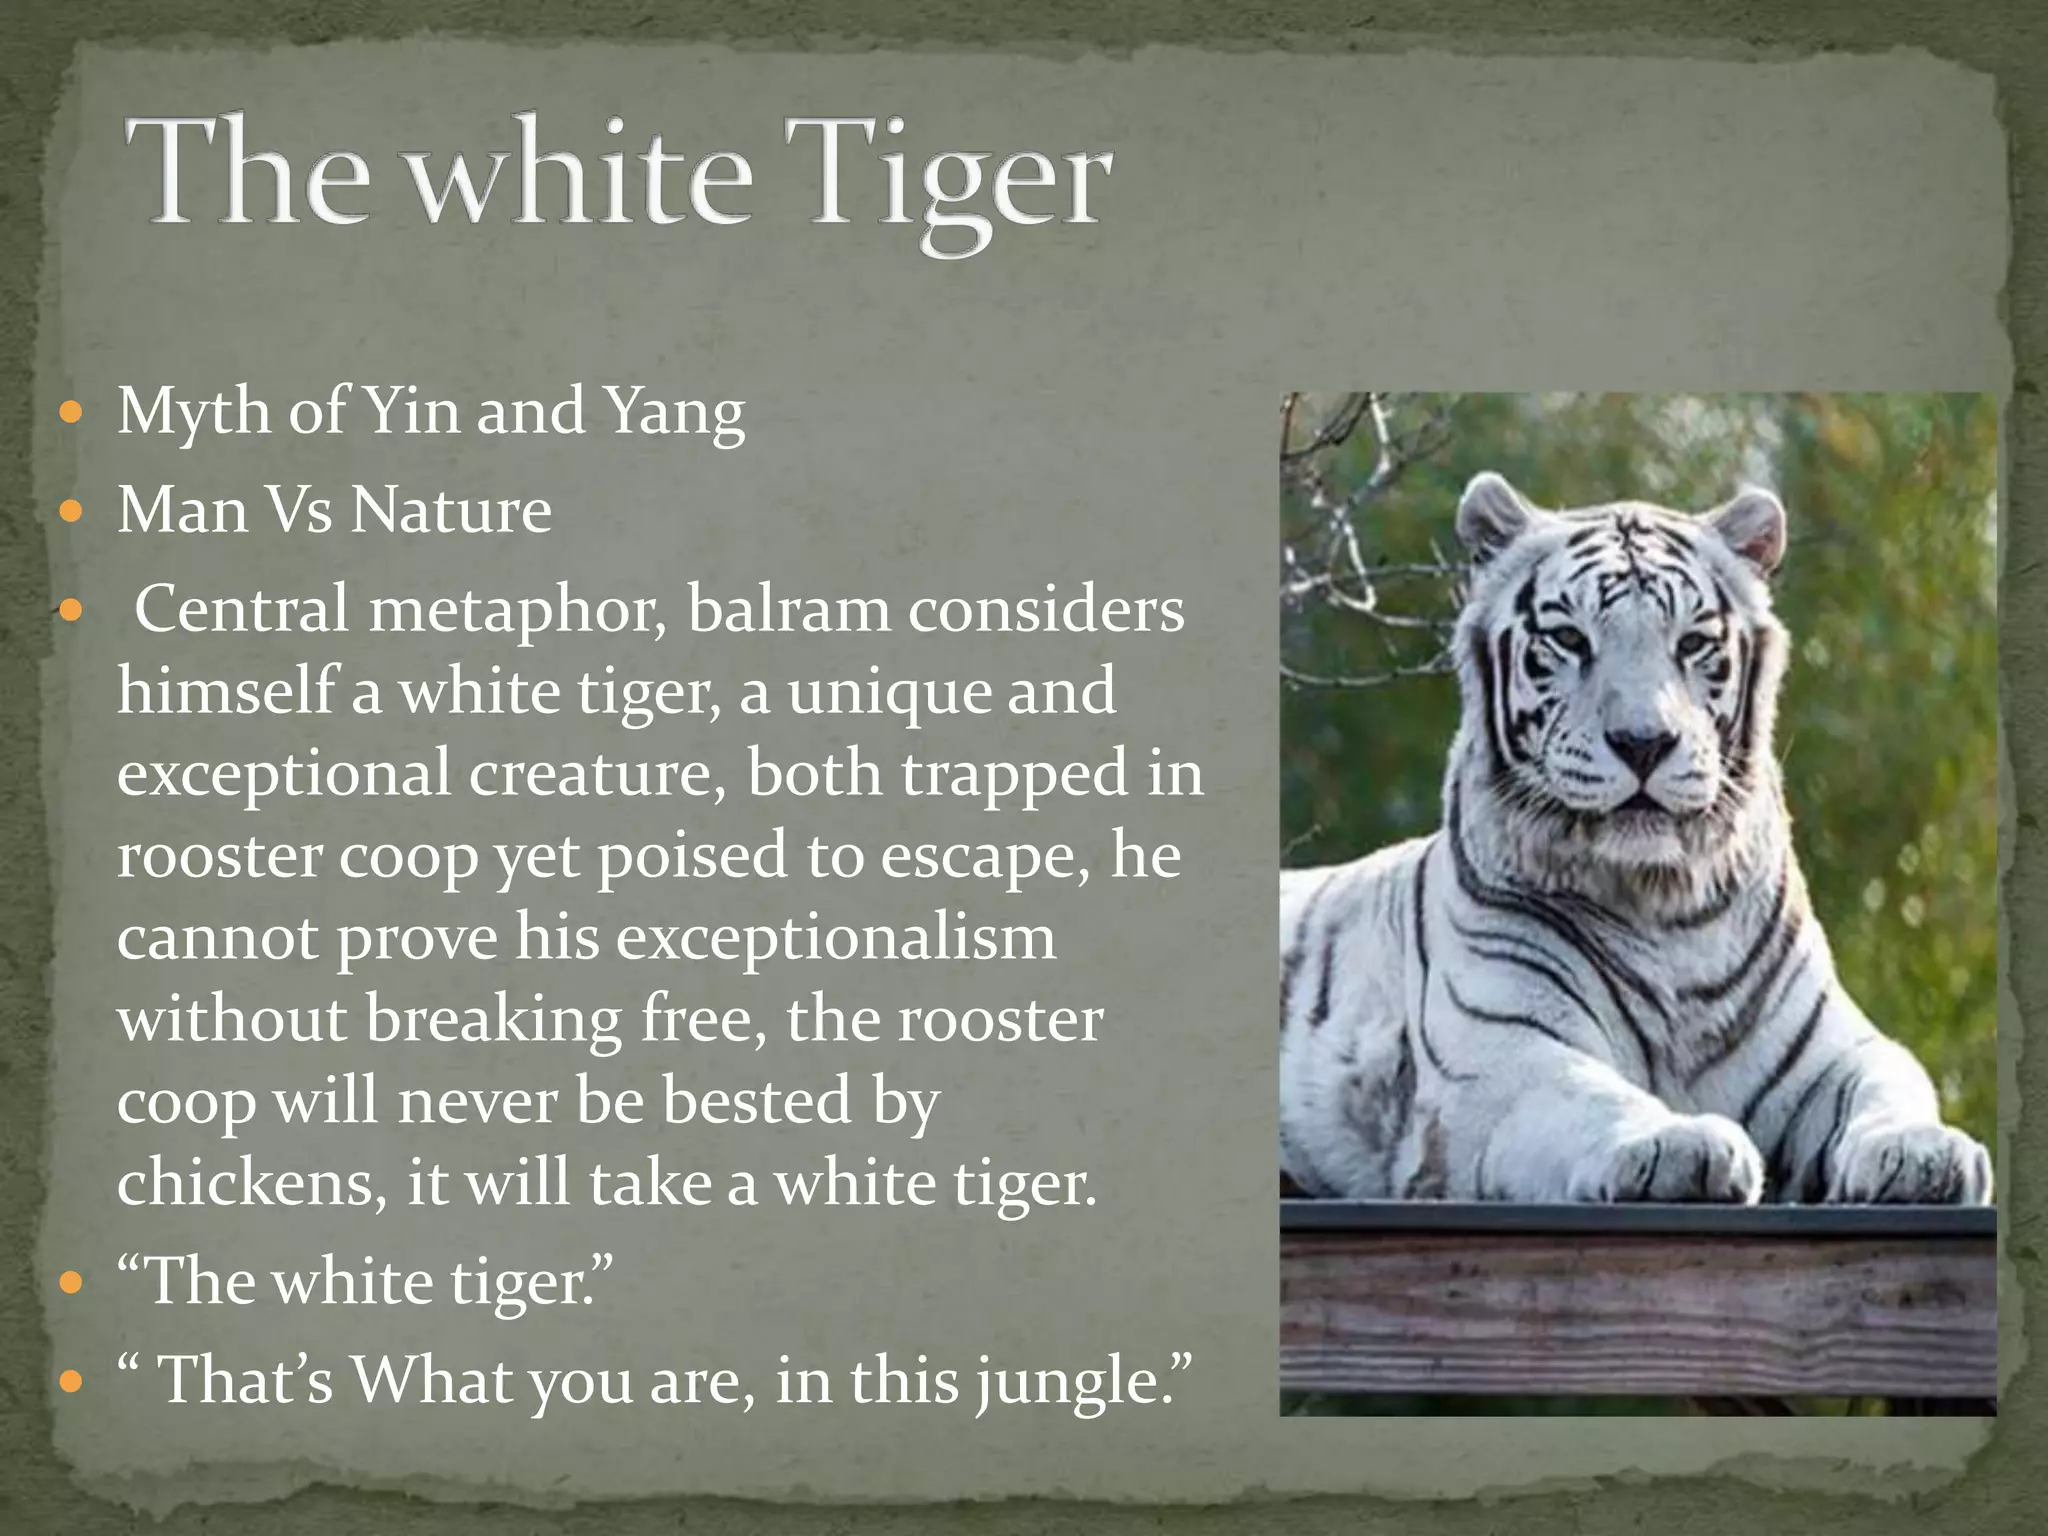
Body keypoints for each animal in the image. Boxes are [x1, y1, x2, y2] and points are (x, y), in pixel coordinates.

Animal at [1279, 471, 1993, 1205]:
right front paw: (1680, 1144)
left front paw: (1923, 1152)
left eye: (1693, 643)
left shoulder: (1831, 1050)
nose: (1643, 742)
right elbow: (1594, 1094)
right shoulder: (1500, 1060)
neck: (1666, 904)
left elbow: (1891, 1081)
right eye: (1569, 639)